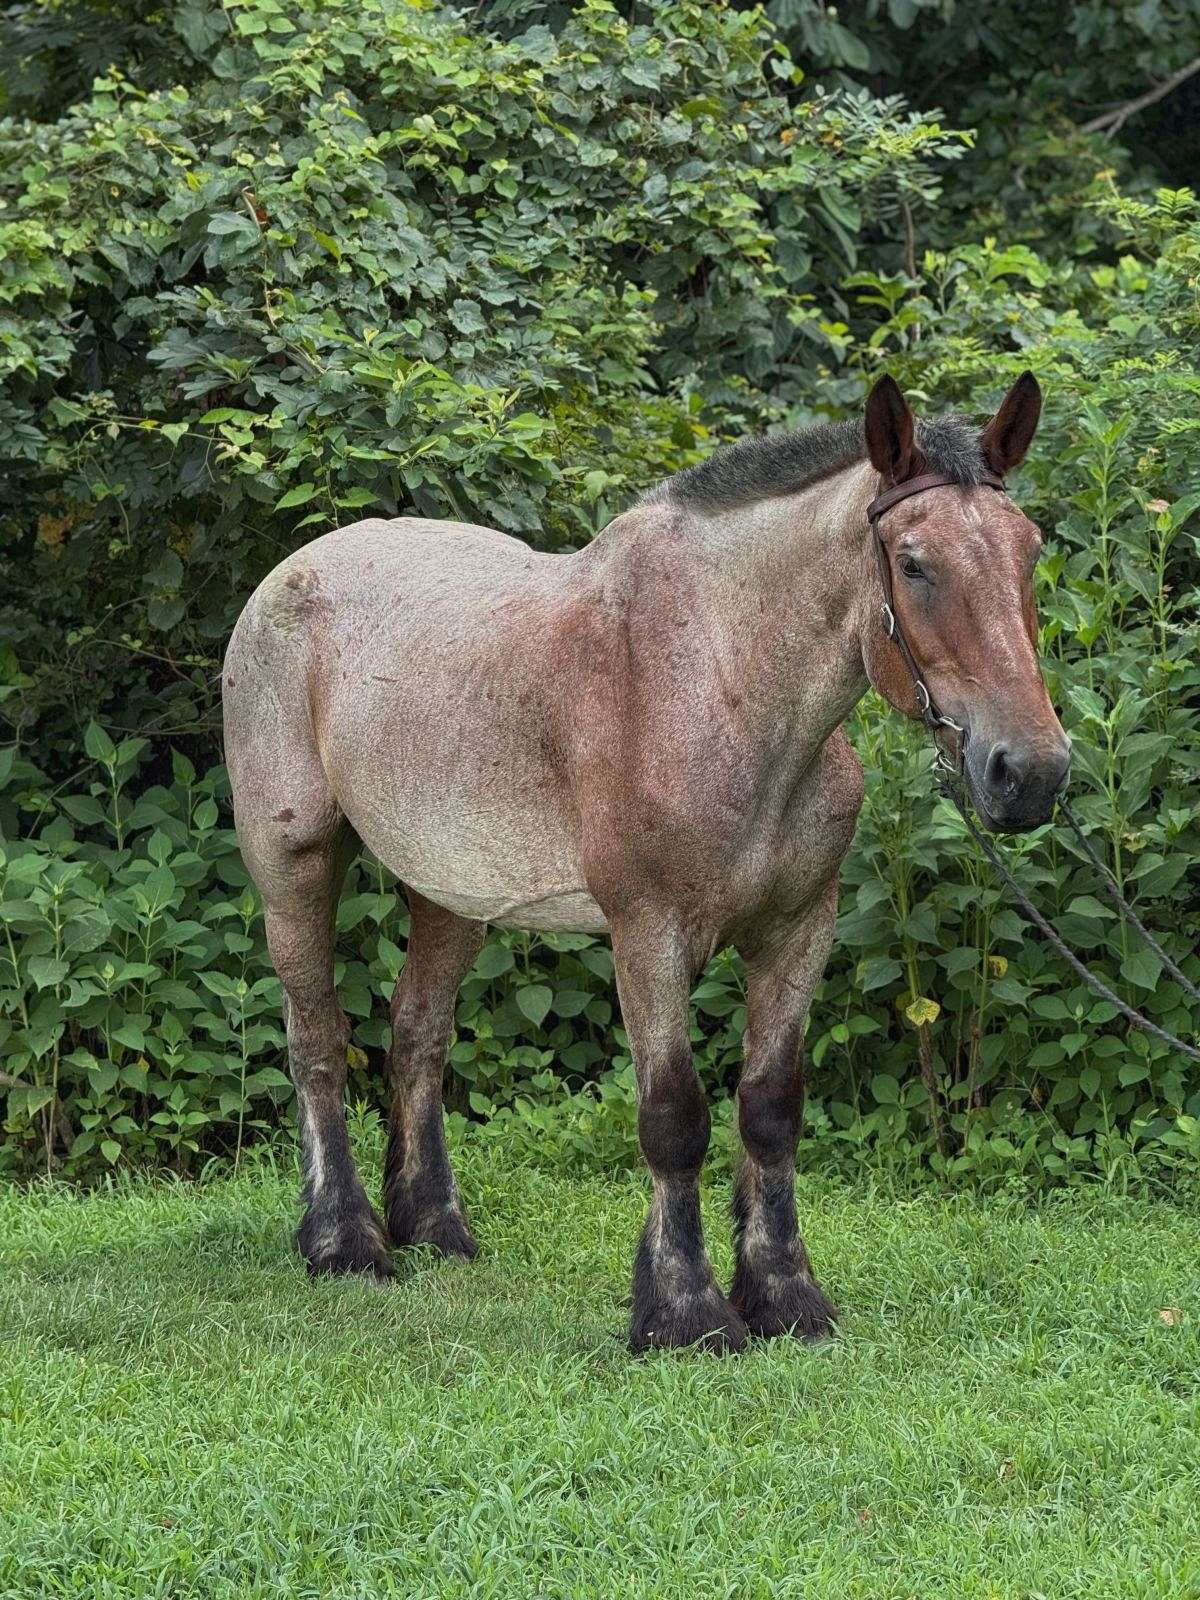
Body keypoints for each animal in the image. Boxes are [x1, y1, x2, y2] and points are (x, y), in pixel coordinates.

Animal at [222, 372, 1070, 1351]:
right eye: (916, 563)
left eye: (1029, 553)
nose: (1031, 773)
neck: (720, 682)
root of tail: (286, 577)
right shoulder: (649, 935)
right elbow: (674, 1118)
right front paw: (683, 1310)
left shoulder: (798, 928)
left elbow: (770, 1109)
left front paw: (785, 1295)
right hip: (294, 864)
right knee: (317, 1041)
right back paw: (344, 1240)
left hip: (451, 892)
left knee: (418, 1036)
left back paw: (432, 1225)